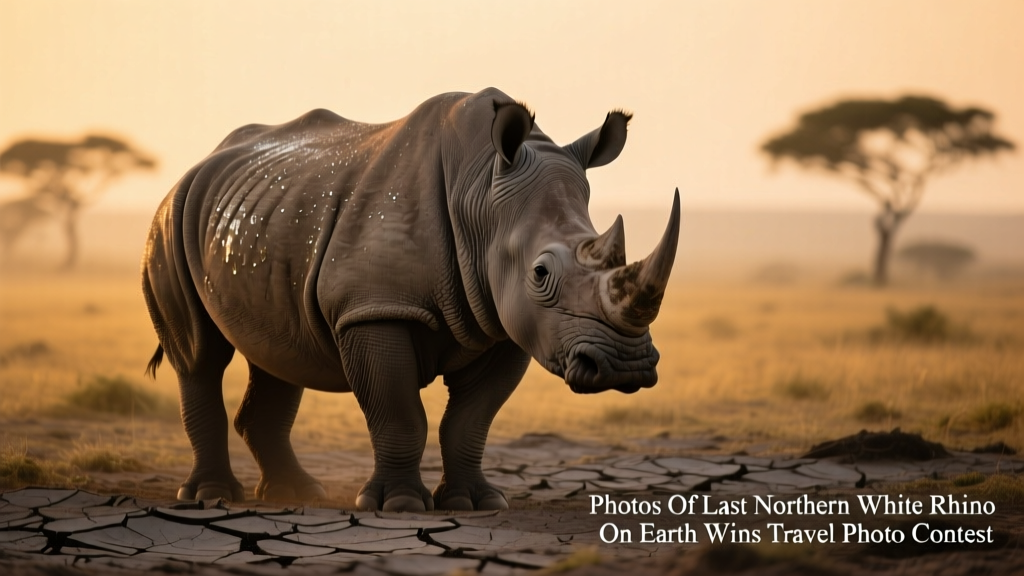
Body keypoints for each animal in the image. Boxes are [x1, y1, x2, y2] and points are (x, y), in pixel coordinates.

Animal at [142, 88, 680, 512]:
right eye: (540, 273)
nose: (626, 367)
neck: (479, 194)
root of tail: (196, 166)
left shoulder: (507, 325)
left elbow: (470, 420)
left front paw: (475, 502)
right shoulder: (373, 308)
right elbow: (399, 412)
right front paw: (398, 505)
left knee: (277, 354)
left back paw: (296, 494)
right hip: (168, 222)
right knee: (199, 356)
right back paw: (212, 497)